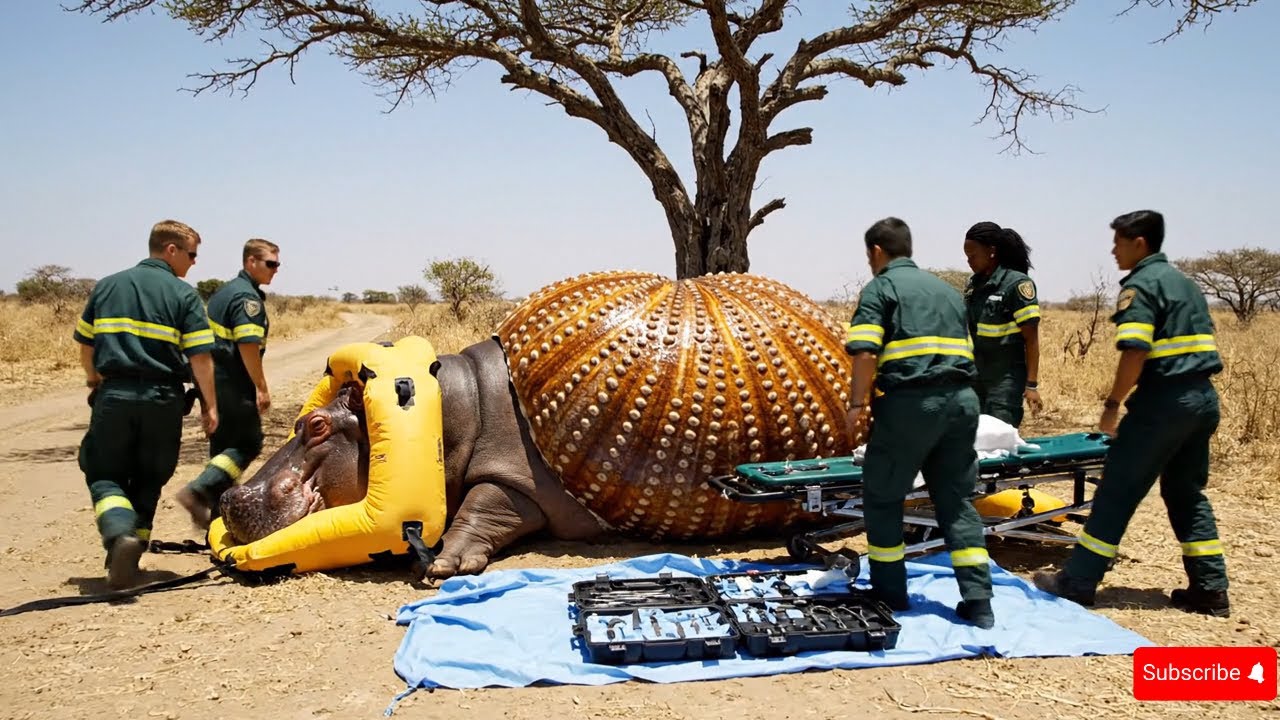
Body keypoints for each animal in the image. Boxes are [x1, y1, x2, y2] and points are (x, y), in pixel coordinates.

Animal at [218, 270, 863, 578]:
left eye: (317, 427)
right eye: (300, 422)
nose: (229, 498)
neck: (453, 407)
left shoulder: (518, 477)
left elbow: (484, 504)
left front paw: (447, 565)